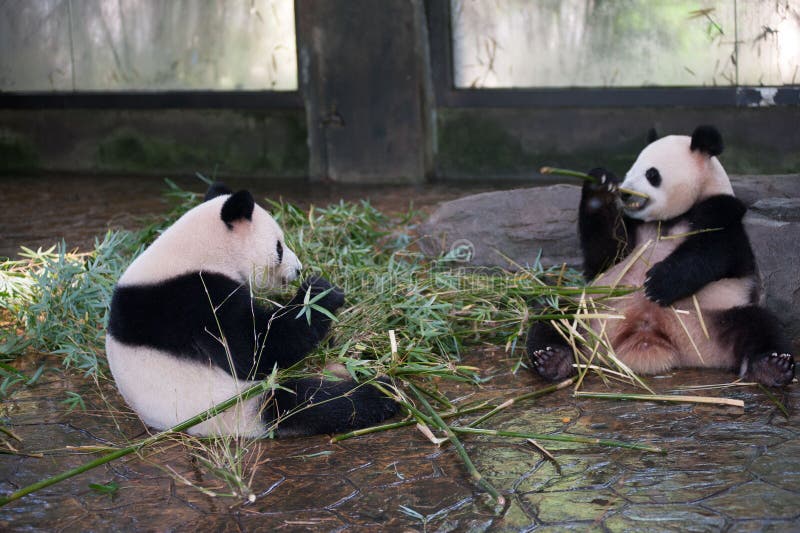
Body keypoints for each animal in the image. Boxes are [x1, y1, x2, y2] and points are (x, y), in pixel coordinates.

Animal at [106, 183, 399, 437]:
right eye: (279, 247)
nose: (299, 269)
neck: (198, 251)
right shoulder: (195, 299)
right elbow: (255, 347)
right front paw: (320, 292)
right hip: (233, 401)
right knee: (307, 403)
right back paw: (384, 392)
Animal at [528, 125, 796, 387]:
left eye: (651, 174)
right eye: (630, 169)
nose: (625, 194)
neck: (666, 221)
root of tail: (650, 337)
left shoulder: (723, 214)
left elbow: (713, 252)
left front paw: (658, 284)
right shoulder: (629, 231)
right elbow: (605, 254)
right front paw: (600, 185)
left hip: (713, 316)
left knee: (759, 324)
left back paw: (772, 367)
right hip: (595, 312)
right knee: (555, 315)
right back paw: (554, 358)